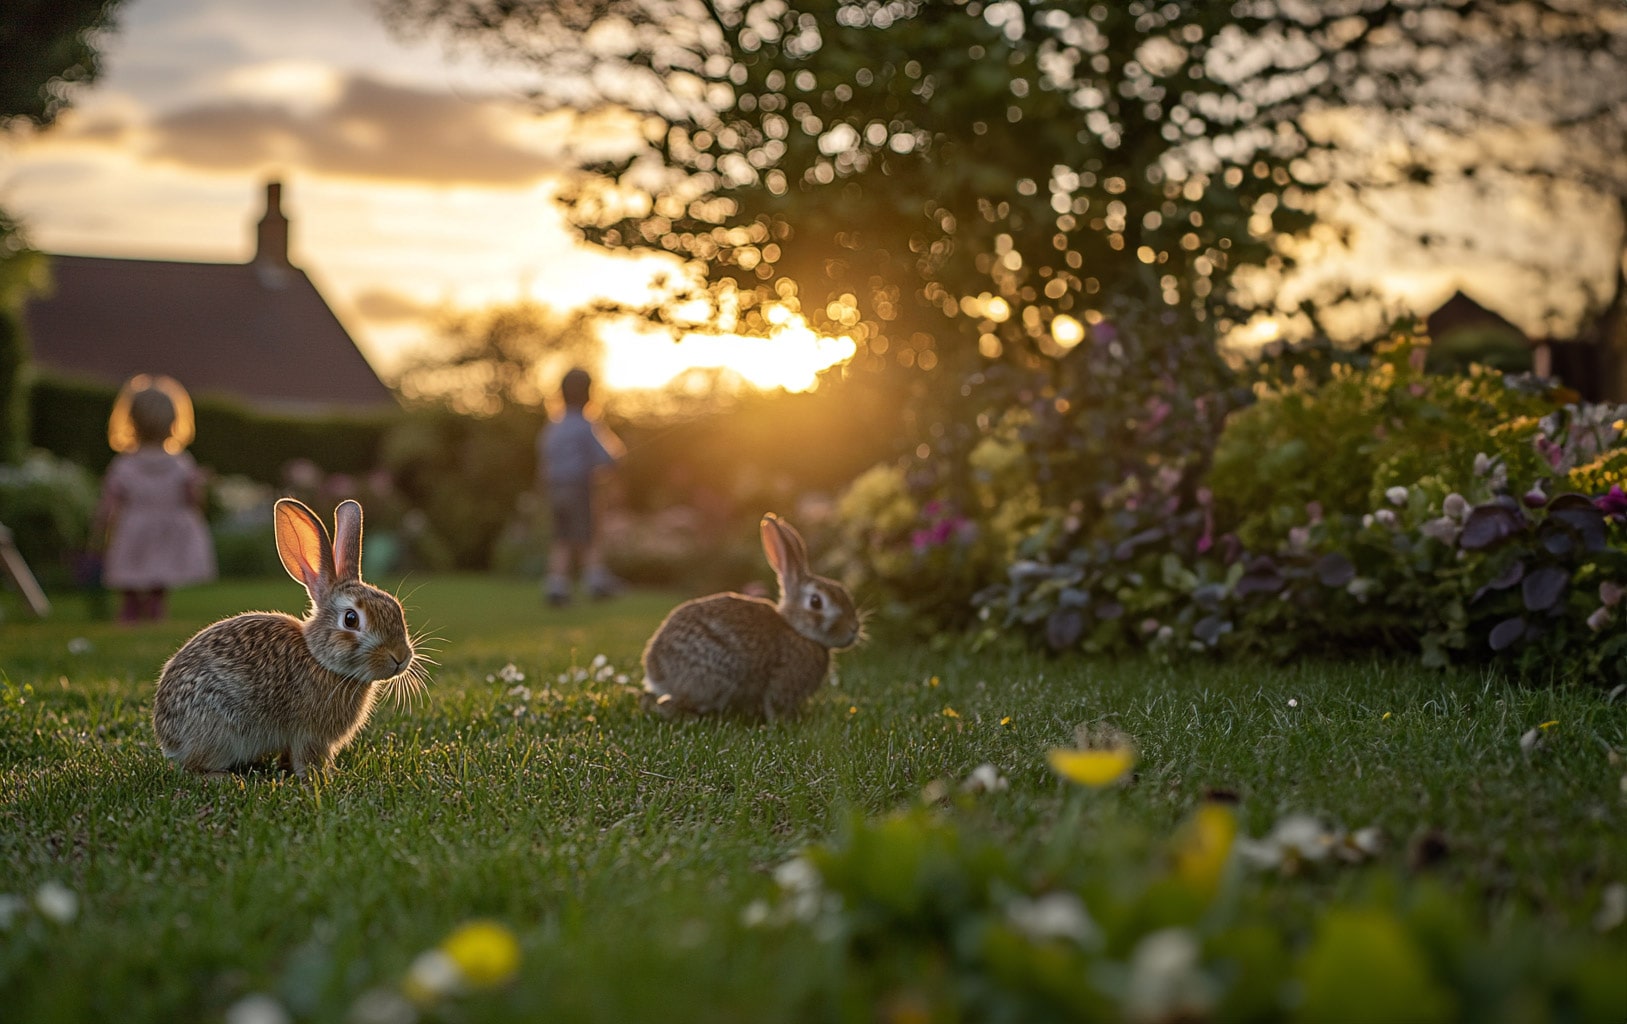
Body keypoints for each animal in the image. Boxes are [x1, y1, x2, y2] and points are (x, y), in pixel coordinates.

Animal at [152, 497, 422, 777]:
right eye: (351, 619)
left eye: (396, 608)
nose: (400, 657)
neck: (320, 661)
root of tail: (168, 739)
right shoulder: (309, 734)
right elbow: (308, 758)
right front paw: (321, 777)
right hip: (218, 729)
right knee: (192, 766)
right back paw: (222, 778)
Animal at [642, 513, 862, 720]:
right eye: (816, 602)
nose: (854, 629)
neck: (797, 631)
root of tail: (655, 667)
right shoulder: (780, 681)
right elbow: (774, 703)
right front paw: (781, 721)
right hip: (716, 678)